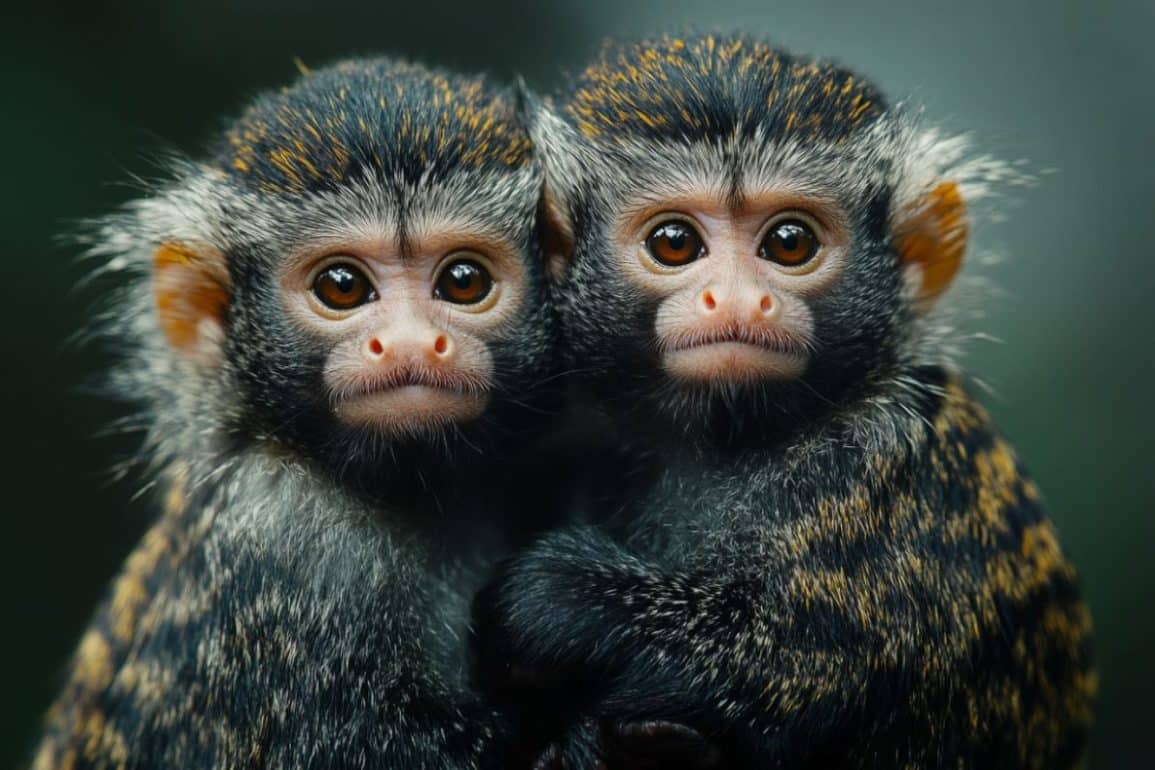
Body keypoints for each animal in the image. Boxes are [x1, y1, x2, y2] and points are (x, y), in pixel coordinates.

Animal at [471, 34, 1097, 770]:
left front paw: (558, 600)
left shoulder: (887, 463)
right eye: (674, 243)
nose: (739, 299)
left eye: (789, 243)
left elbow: (801, 669)